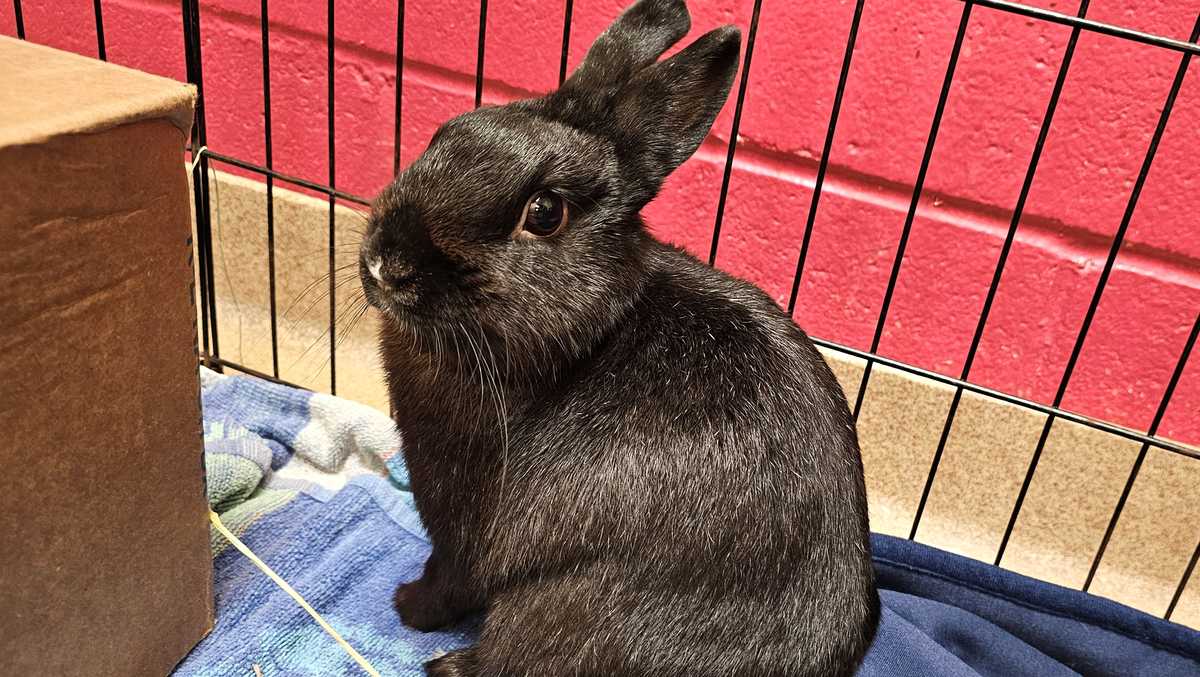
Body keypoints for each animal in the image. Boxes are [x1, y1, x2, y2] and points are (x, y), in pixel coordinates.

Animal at [359, 1, 880, 675]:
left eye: (545, 212)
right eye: (444, 133)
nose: (386, 263)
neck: (586, 339)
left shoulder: (464, 528)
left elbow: (449, 580)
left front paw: (407, 607)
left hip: (552, 611)